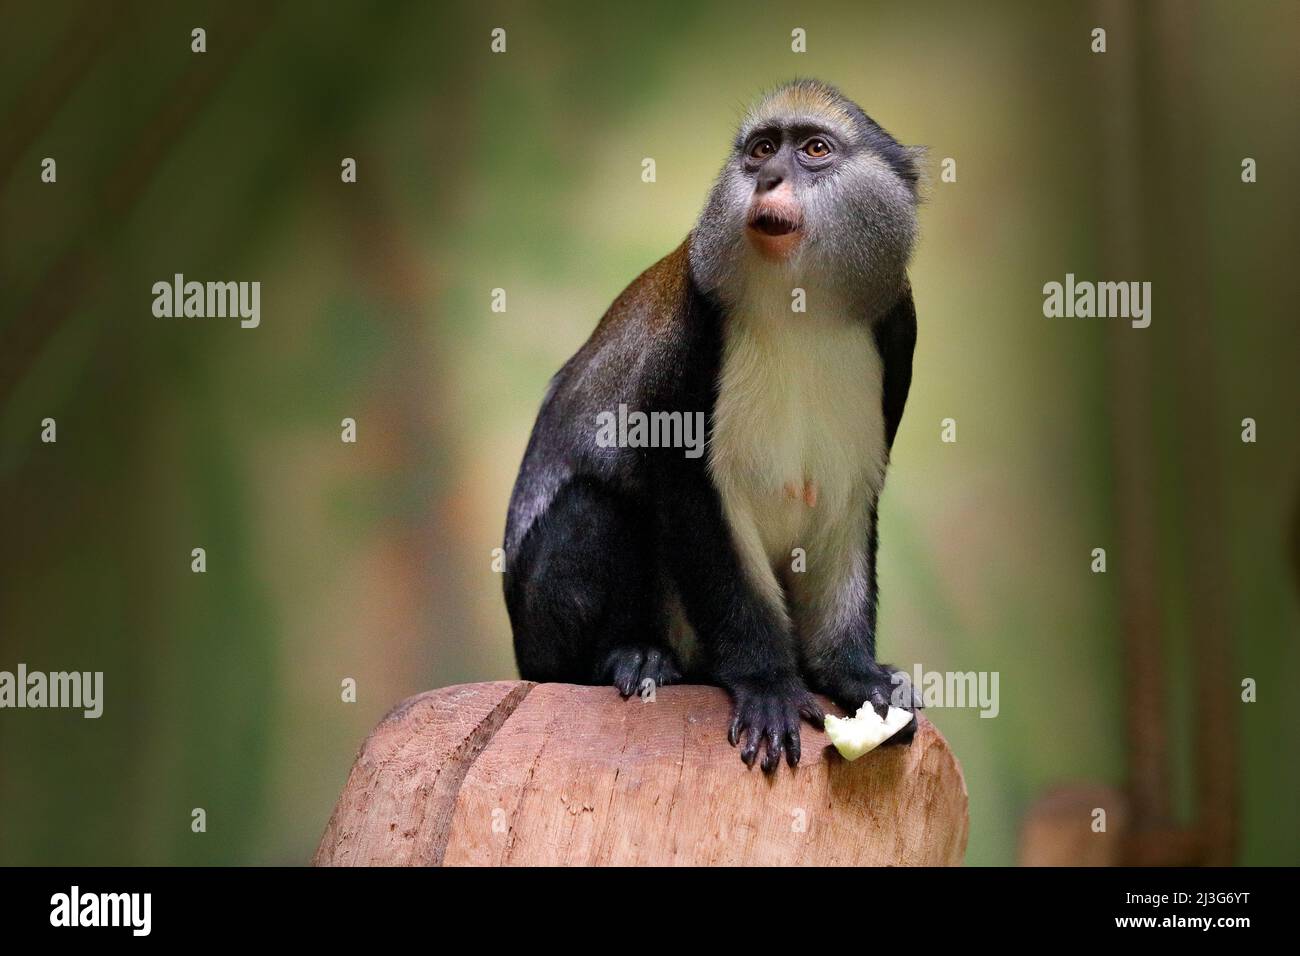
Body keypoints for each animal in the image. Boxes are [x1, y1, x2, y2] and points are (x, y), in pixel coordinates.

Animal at [503, 79, 923, 772]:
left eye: (814, 149)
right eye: (761, 150)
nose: (768, 178)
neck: (800, 302)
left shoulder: (898, 324)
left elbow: (846, 501)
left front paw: (856, 675)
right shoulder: (692, 329)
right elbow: (690, 494)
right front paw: (767, 682)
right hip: (545, 640)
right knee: (591, 505)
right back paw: (629, 656)